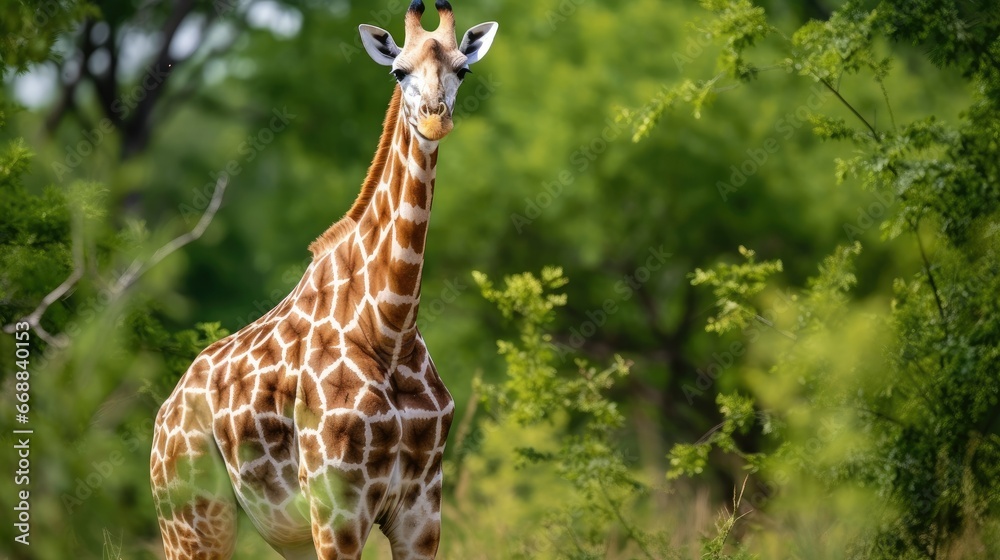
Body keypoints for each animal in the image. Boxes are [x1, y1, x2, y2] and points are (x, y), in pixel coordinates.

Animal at [149, 2, 498, 558]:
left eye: (463, 69)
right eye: (398, 71)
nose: (434, 118)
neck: (389, 328)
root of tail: (163, 417)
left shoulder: (422, 508)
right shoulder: (338, 506)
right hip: (193, 520)